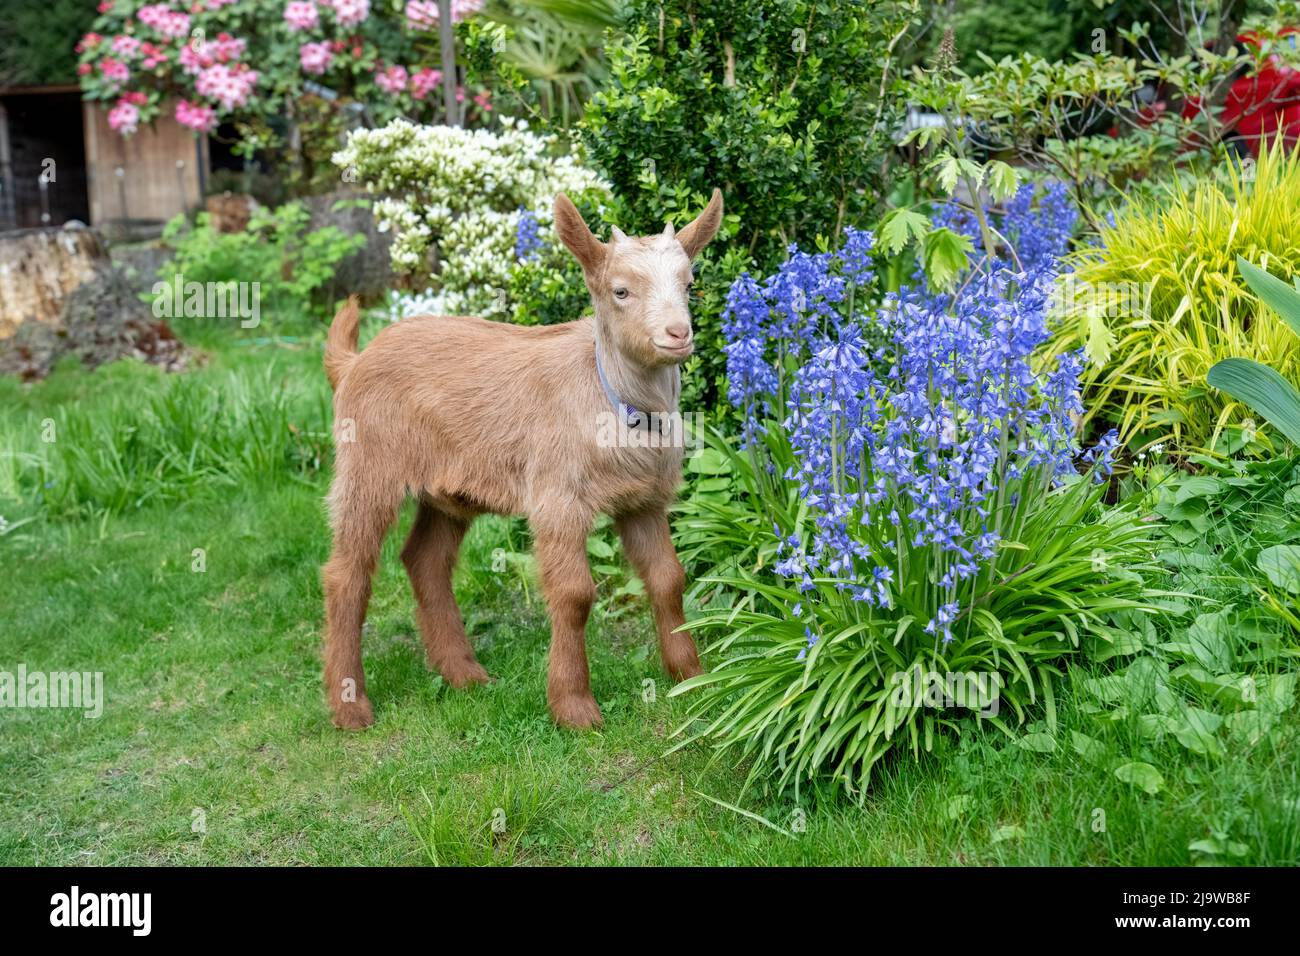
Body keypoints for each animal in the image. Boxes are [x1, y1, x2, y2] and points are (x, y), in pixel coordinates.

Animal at [321, 189, 723, 729]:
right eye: (620, 291)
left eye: (689, 284)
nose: (678, 334)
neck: (613, 400)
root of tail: (352, 362)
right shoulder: (558, 500)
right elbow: (574, 594)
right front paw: (575, 708)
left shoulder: (644, 502)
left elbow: (667, 580)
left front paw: (692, 678)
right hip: (368, 468)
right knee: (348, 574)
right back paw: (350, 707)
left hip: (448, 490)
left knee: (425, 560)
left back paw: (465, 675)